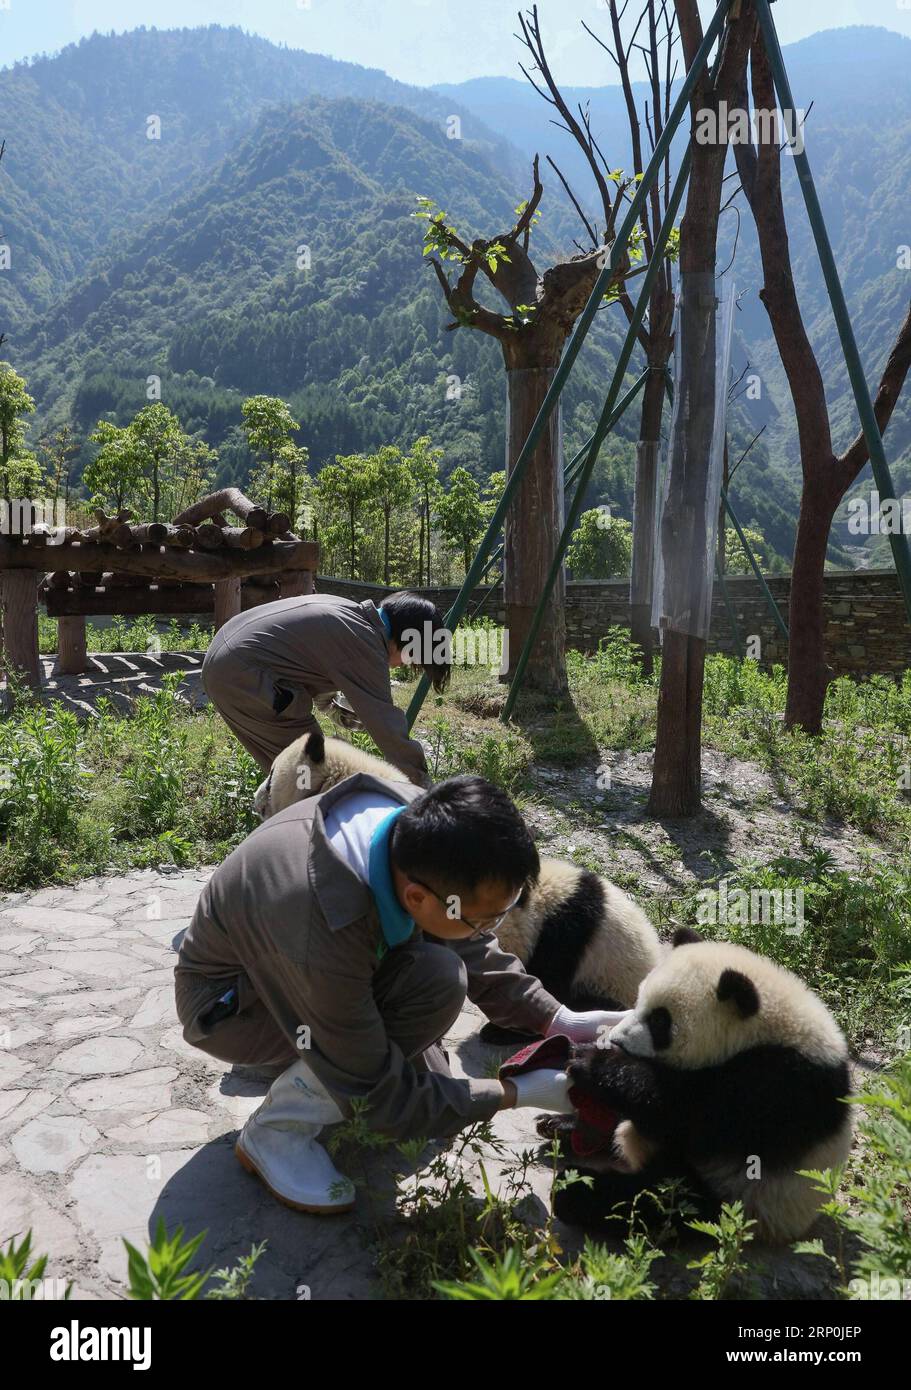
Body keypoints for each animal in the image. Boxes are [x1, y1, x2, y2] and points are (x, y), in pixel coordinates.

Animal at [545, 927, 854, 1245]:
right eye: (639, 1001)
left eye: (660, 1021)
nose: (616, 1040)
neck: (765, 1029)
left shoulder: (778, 1087)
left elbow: (688, 1113)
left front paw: (591, 1059)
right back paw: (563, 1128)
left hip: (742, 1196)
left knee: (662, 1200)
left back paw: (575, 1189)